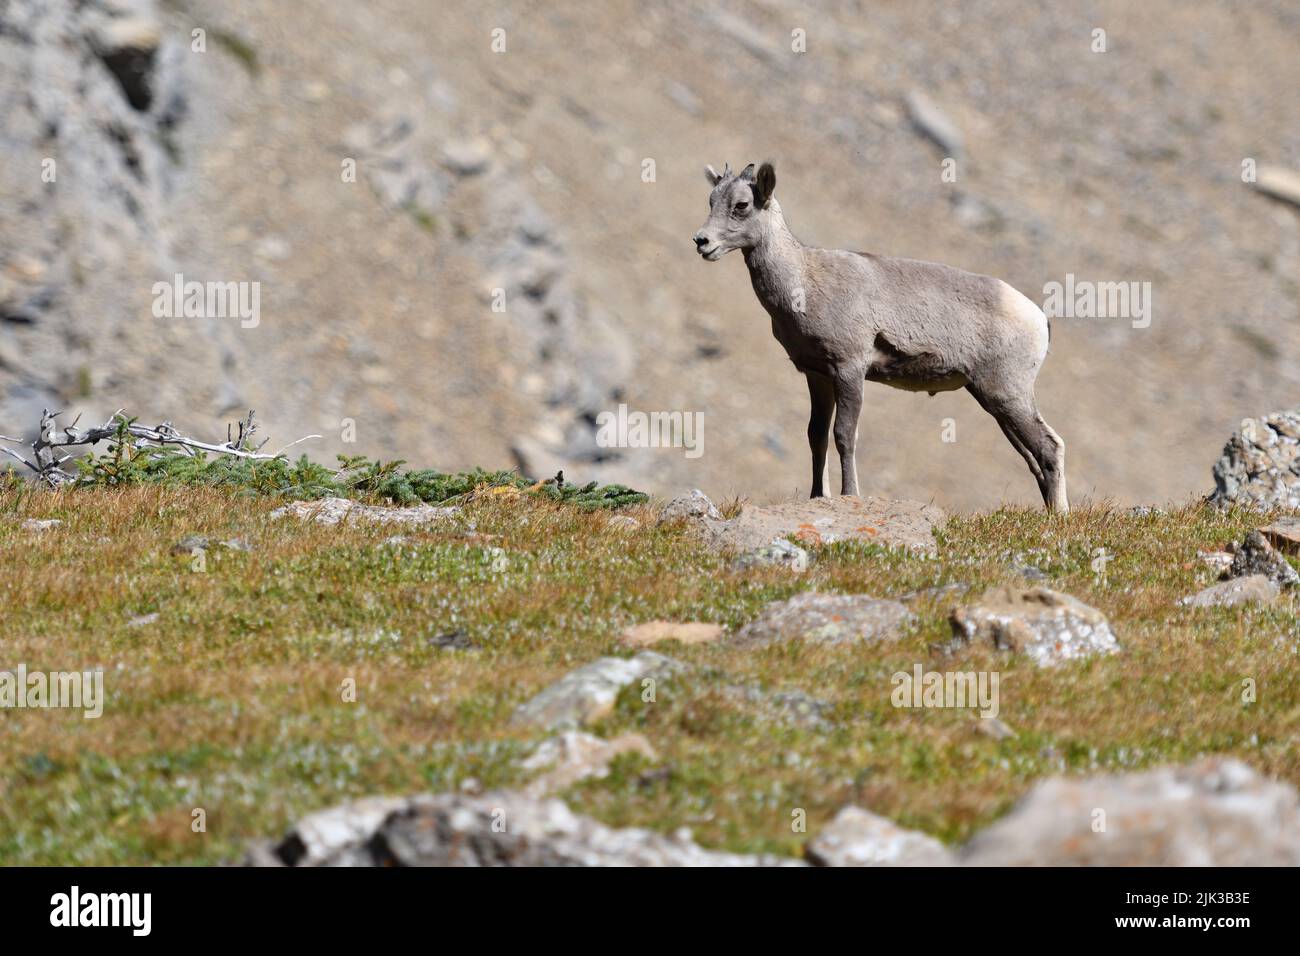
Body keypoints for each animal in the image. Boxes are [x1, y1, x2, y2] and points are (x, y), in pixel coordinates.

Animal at [694, 162, 1067, 512]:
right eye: (711, 200)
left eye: (742, 205)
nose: (702, 242)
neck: (804, 282)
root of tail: (1038, 318)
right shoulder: (817, 375)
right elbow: (816, 435)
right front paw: (817, 496)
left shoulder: (849, 369)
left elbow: (844, 435)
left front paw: (849, 494)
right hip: (992, 400)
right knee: (1035, 457)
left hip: (1008, 394)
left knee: (1050, 446)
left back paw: (1059, 516)